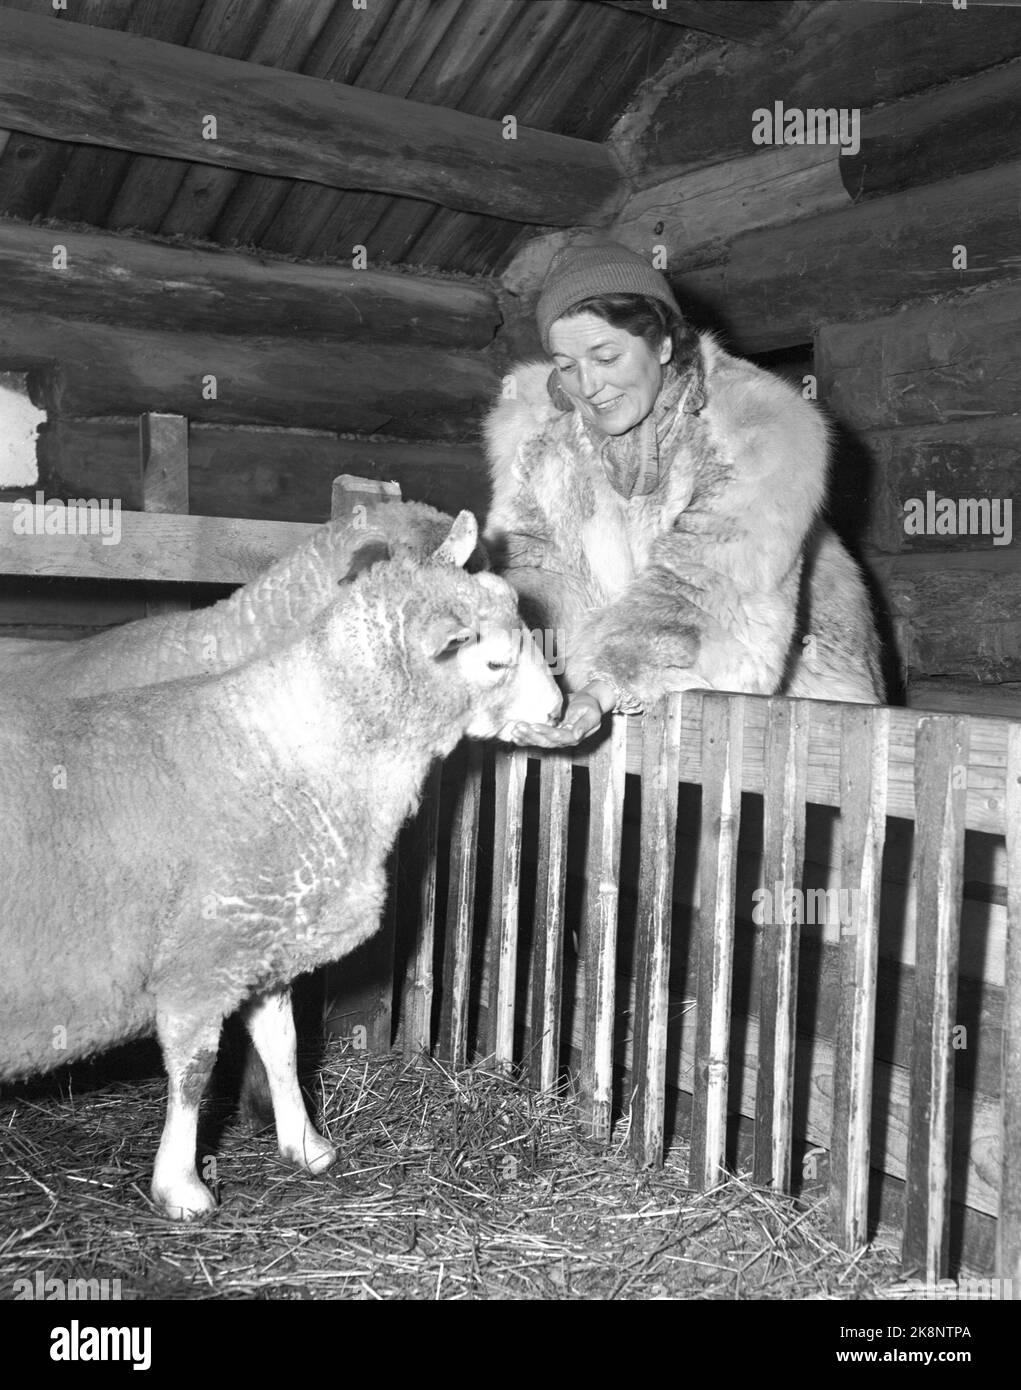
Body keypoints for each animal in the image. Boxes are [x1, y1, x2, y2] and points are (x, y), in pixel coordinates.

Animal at [0, 512, 562, 1219]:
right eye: (493, 661)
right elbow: (194, 1071)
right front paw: (181, 1187)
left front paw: (305, 1144)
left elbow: (284, 1049)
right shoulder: (200, 956)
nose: (558, 711)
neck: (297, 748)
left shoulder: (263, 943)